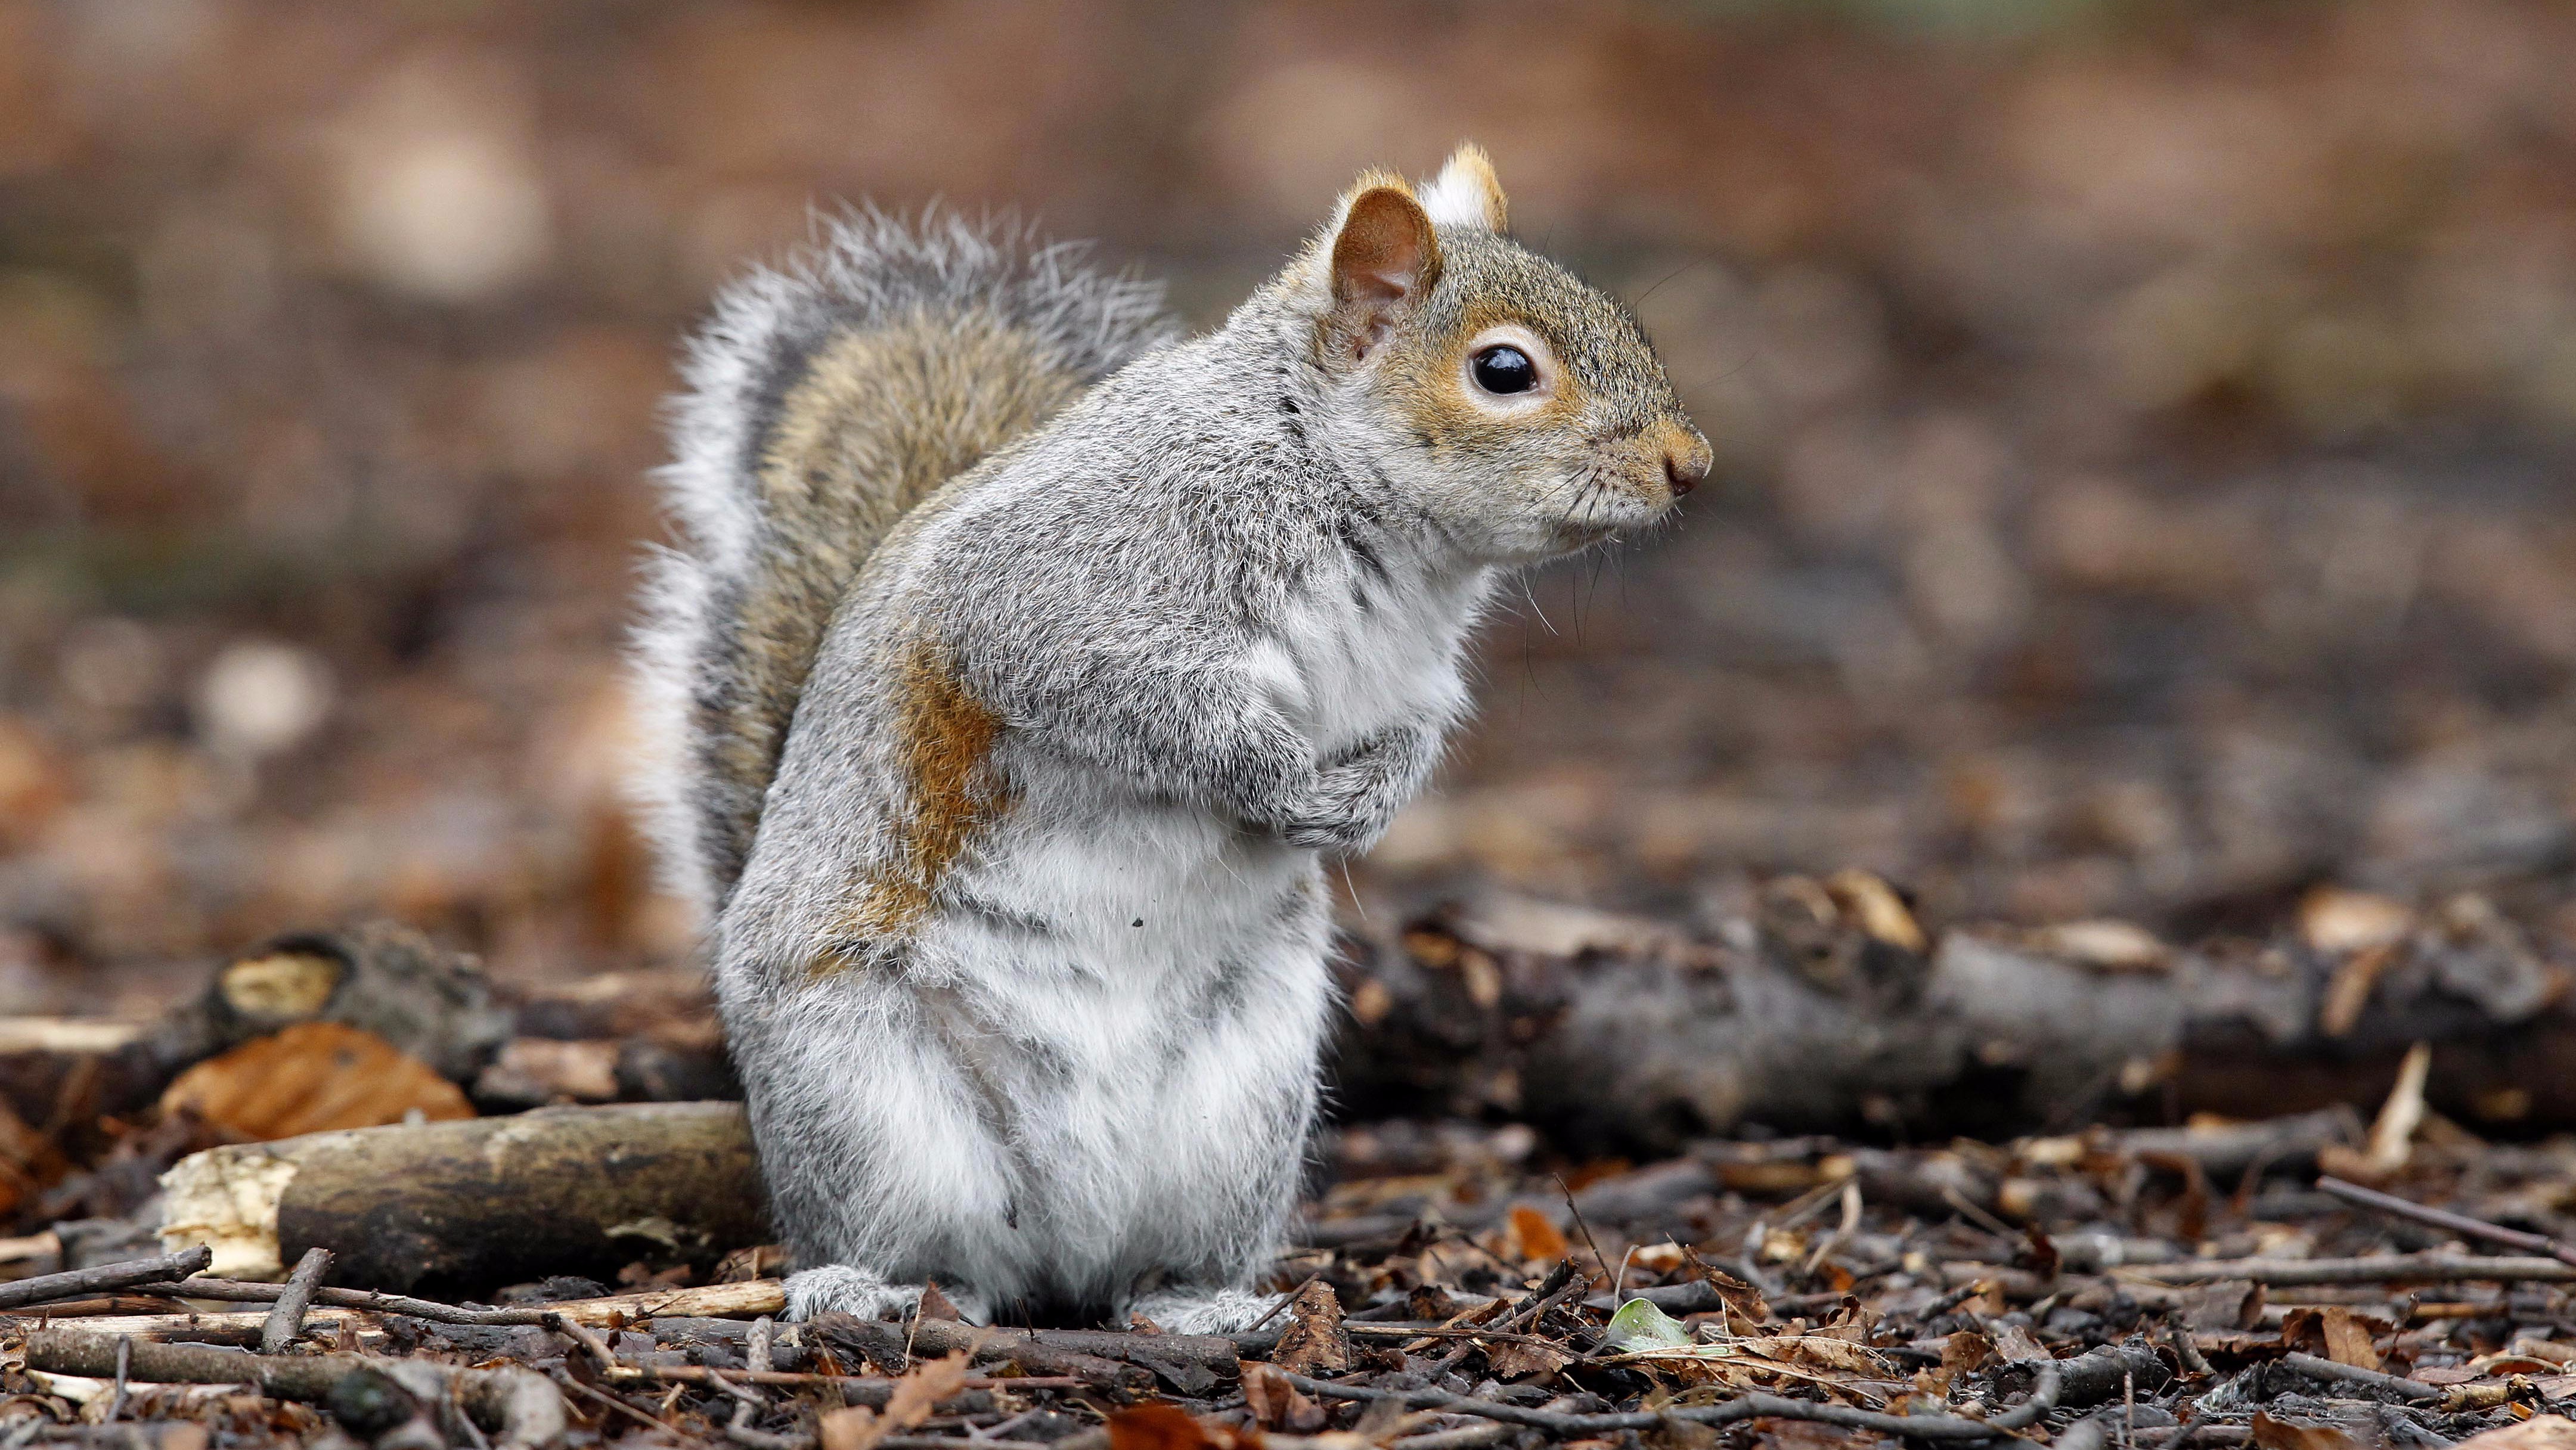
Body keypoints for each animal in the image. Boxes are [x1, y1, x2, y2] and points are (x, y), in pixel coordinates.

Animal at [631, 145, 1711, 1331]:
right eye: (1505, 370)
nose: (1691, 462)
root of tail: (1064, 1236)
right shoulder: (1061, 588)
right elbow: (1134, 700)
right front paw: (1273, 778)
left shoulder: (1414, 681)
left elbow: (1411, 741)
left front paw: (1365, 804)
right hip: (867, 1099)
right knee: (924, 1246)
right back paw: (867, 1289)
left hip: (1241, 1107)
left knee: (1138, 1271)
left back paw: (1198, 1306)